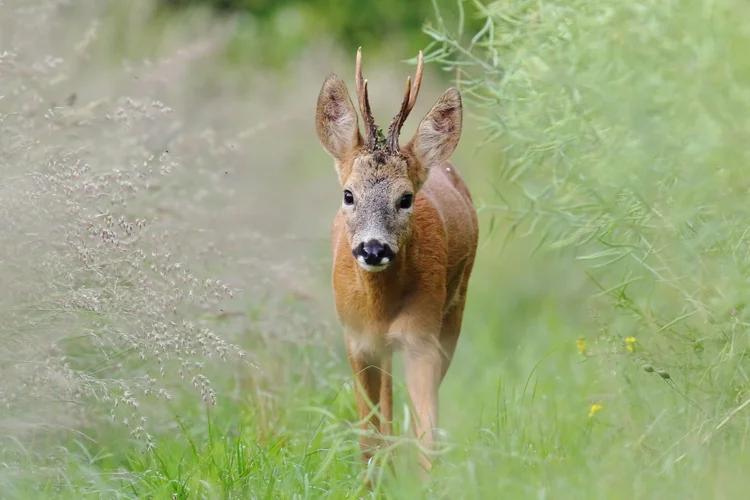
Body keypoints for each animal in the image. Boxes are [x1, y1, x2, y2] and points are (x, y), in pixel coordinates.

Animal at [314, 47, 479, 478]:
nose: (373, 249)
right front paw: (375, 481)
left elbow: (427, 434)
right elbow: (368, 438)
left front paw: (425, 481)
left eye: (405, 198)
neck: (380, 309)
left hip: (454, 308)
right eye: (348, 194)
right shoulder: (356, 339)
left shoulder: (421, 333)